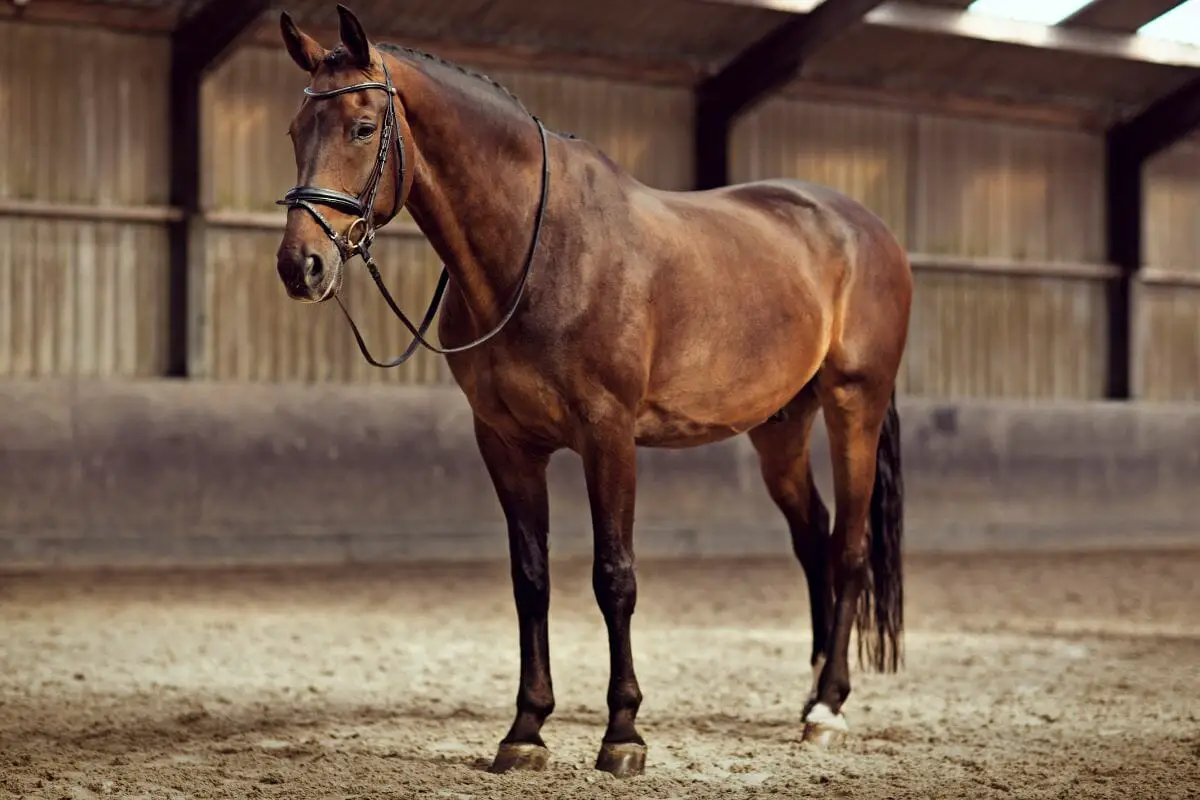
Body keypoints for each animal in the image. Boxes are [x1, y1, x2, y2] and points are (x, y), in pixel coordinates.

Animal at [273, 3, 912, 778]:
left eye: (363, 128)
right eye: (296, 131)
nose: (301, 266)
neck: (539, 247)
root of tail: (864, 228)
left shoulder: (608, 436)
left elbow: (615, 577)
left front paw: (623, 733)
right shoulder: (507, 443)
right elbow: (531, 579)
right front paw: (525, 729)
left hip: (855, 407)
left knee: (848, 548)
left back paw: (829, 708)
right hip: (781, 428)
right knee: (814, 541)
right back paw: (812, 691)